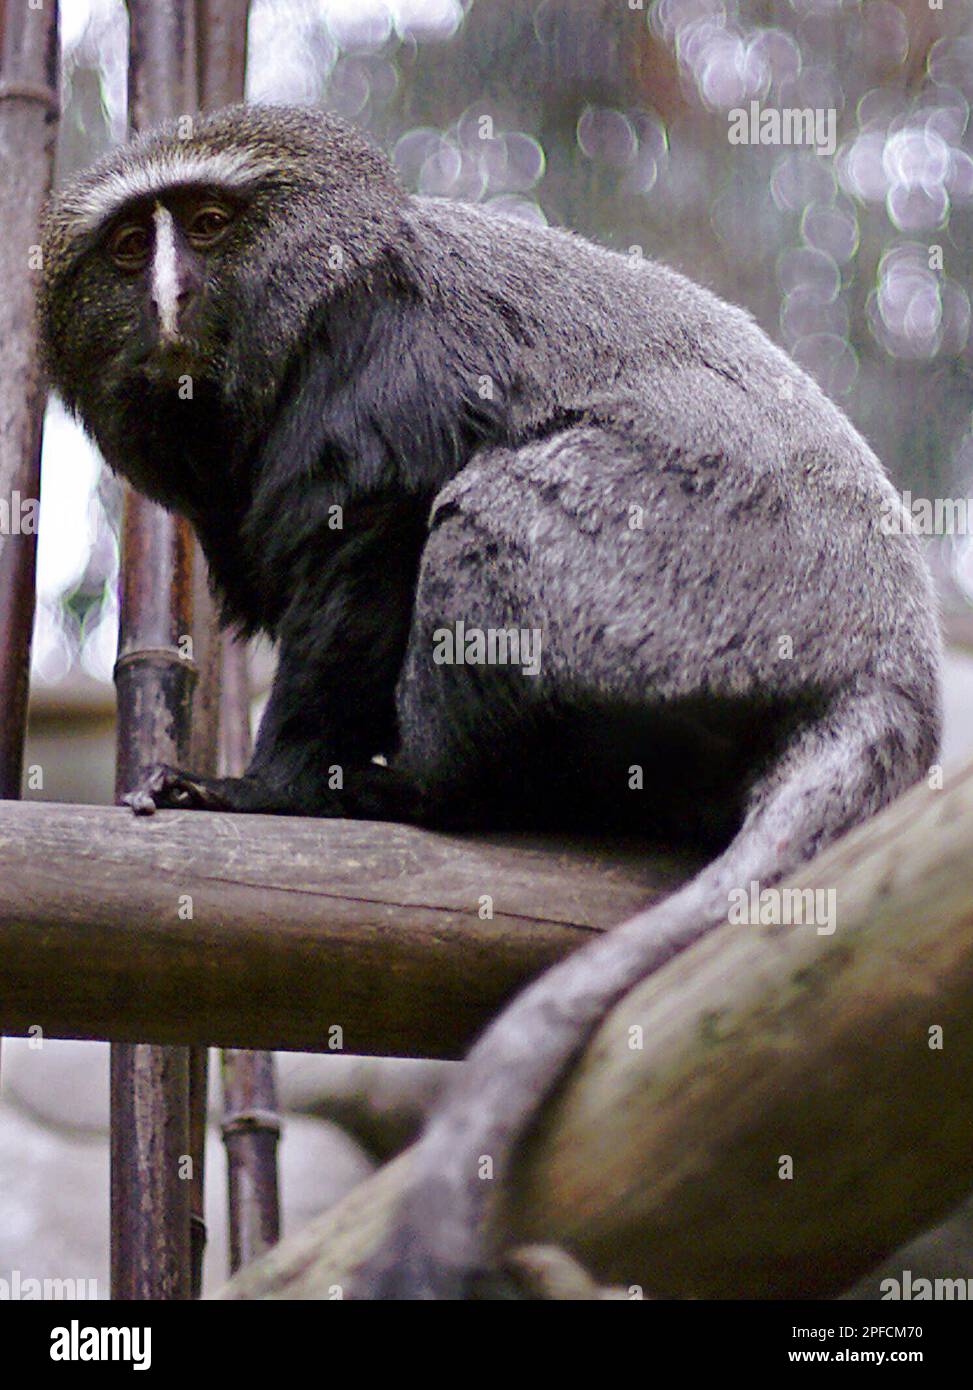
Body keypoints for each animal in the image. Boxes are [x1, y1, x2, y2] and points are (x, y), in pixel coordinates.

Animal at [38, 104, 942, 1299]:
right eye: (132, 246)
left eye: (213, 224)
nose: (169, 298)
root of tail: (888, 663)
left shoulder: (383, 364)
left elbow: (374, 528)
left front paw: (267, 793)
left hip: (668, 586)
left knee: (482, 507)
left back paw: (417, 792)